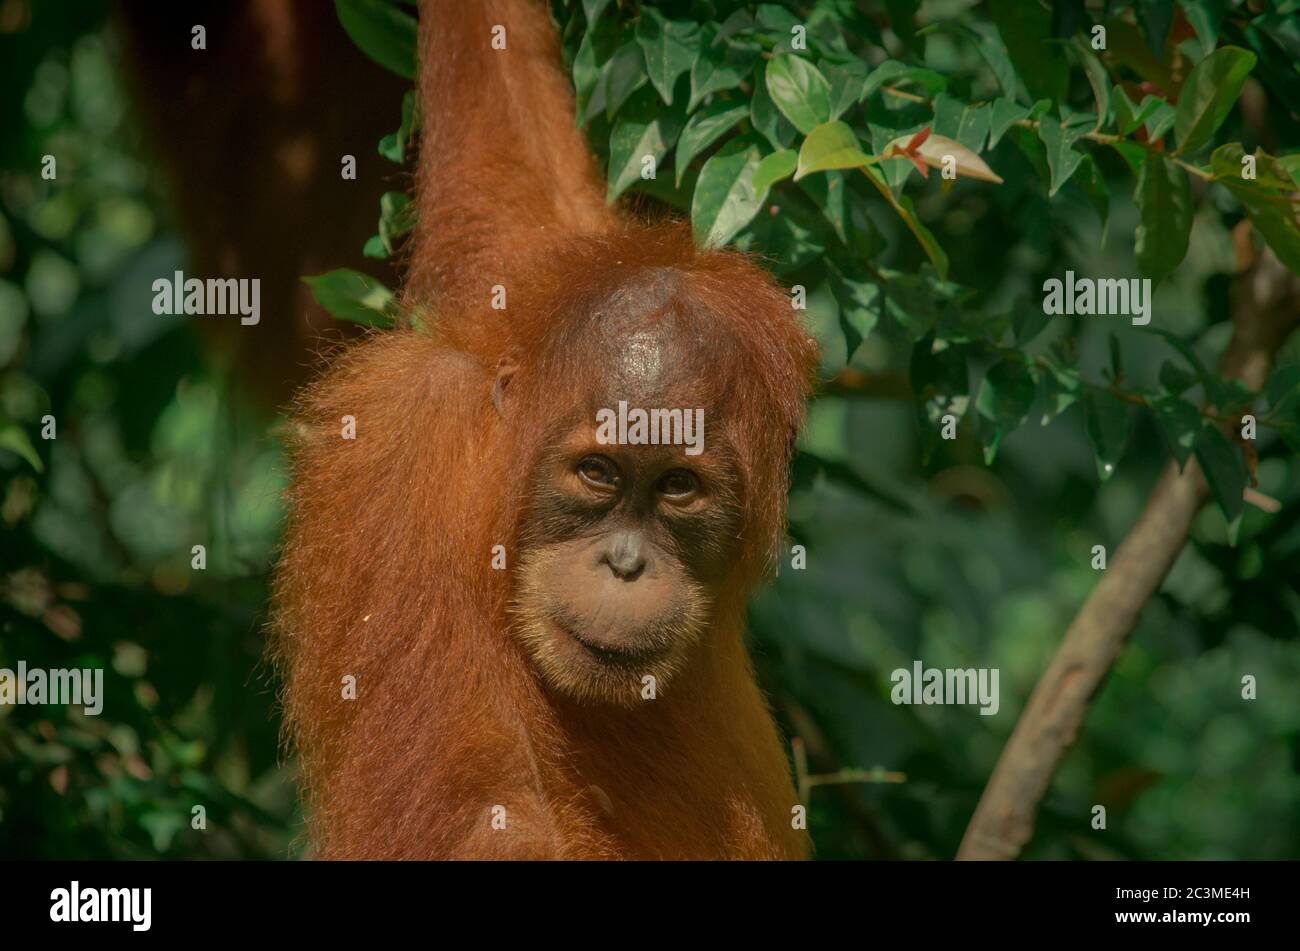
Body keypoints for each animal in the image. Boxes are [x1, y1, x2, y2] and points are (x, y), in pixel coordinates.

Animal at [270, 0, 817, 859]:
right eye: (597, 472)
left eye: (679, 486)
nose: (625, 563)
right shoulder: (403, 464)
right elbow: (483, 808)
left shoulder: (533, 270)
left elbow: (516, 150)